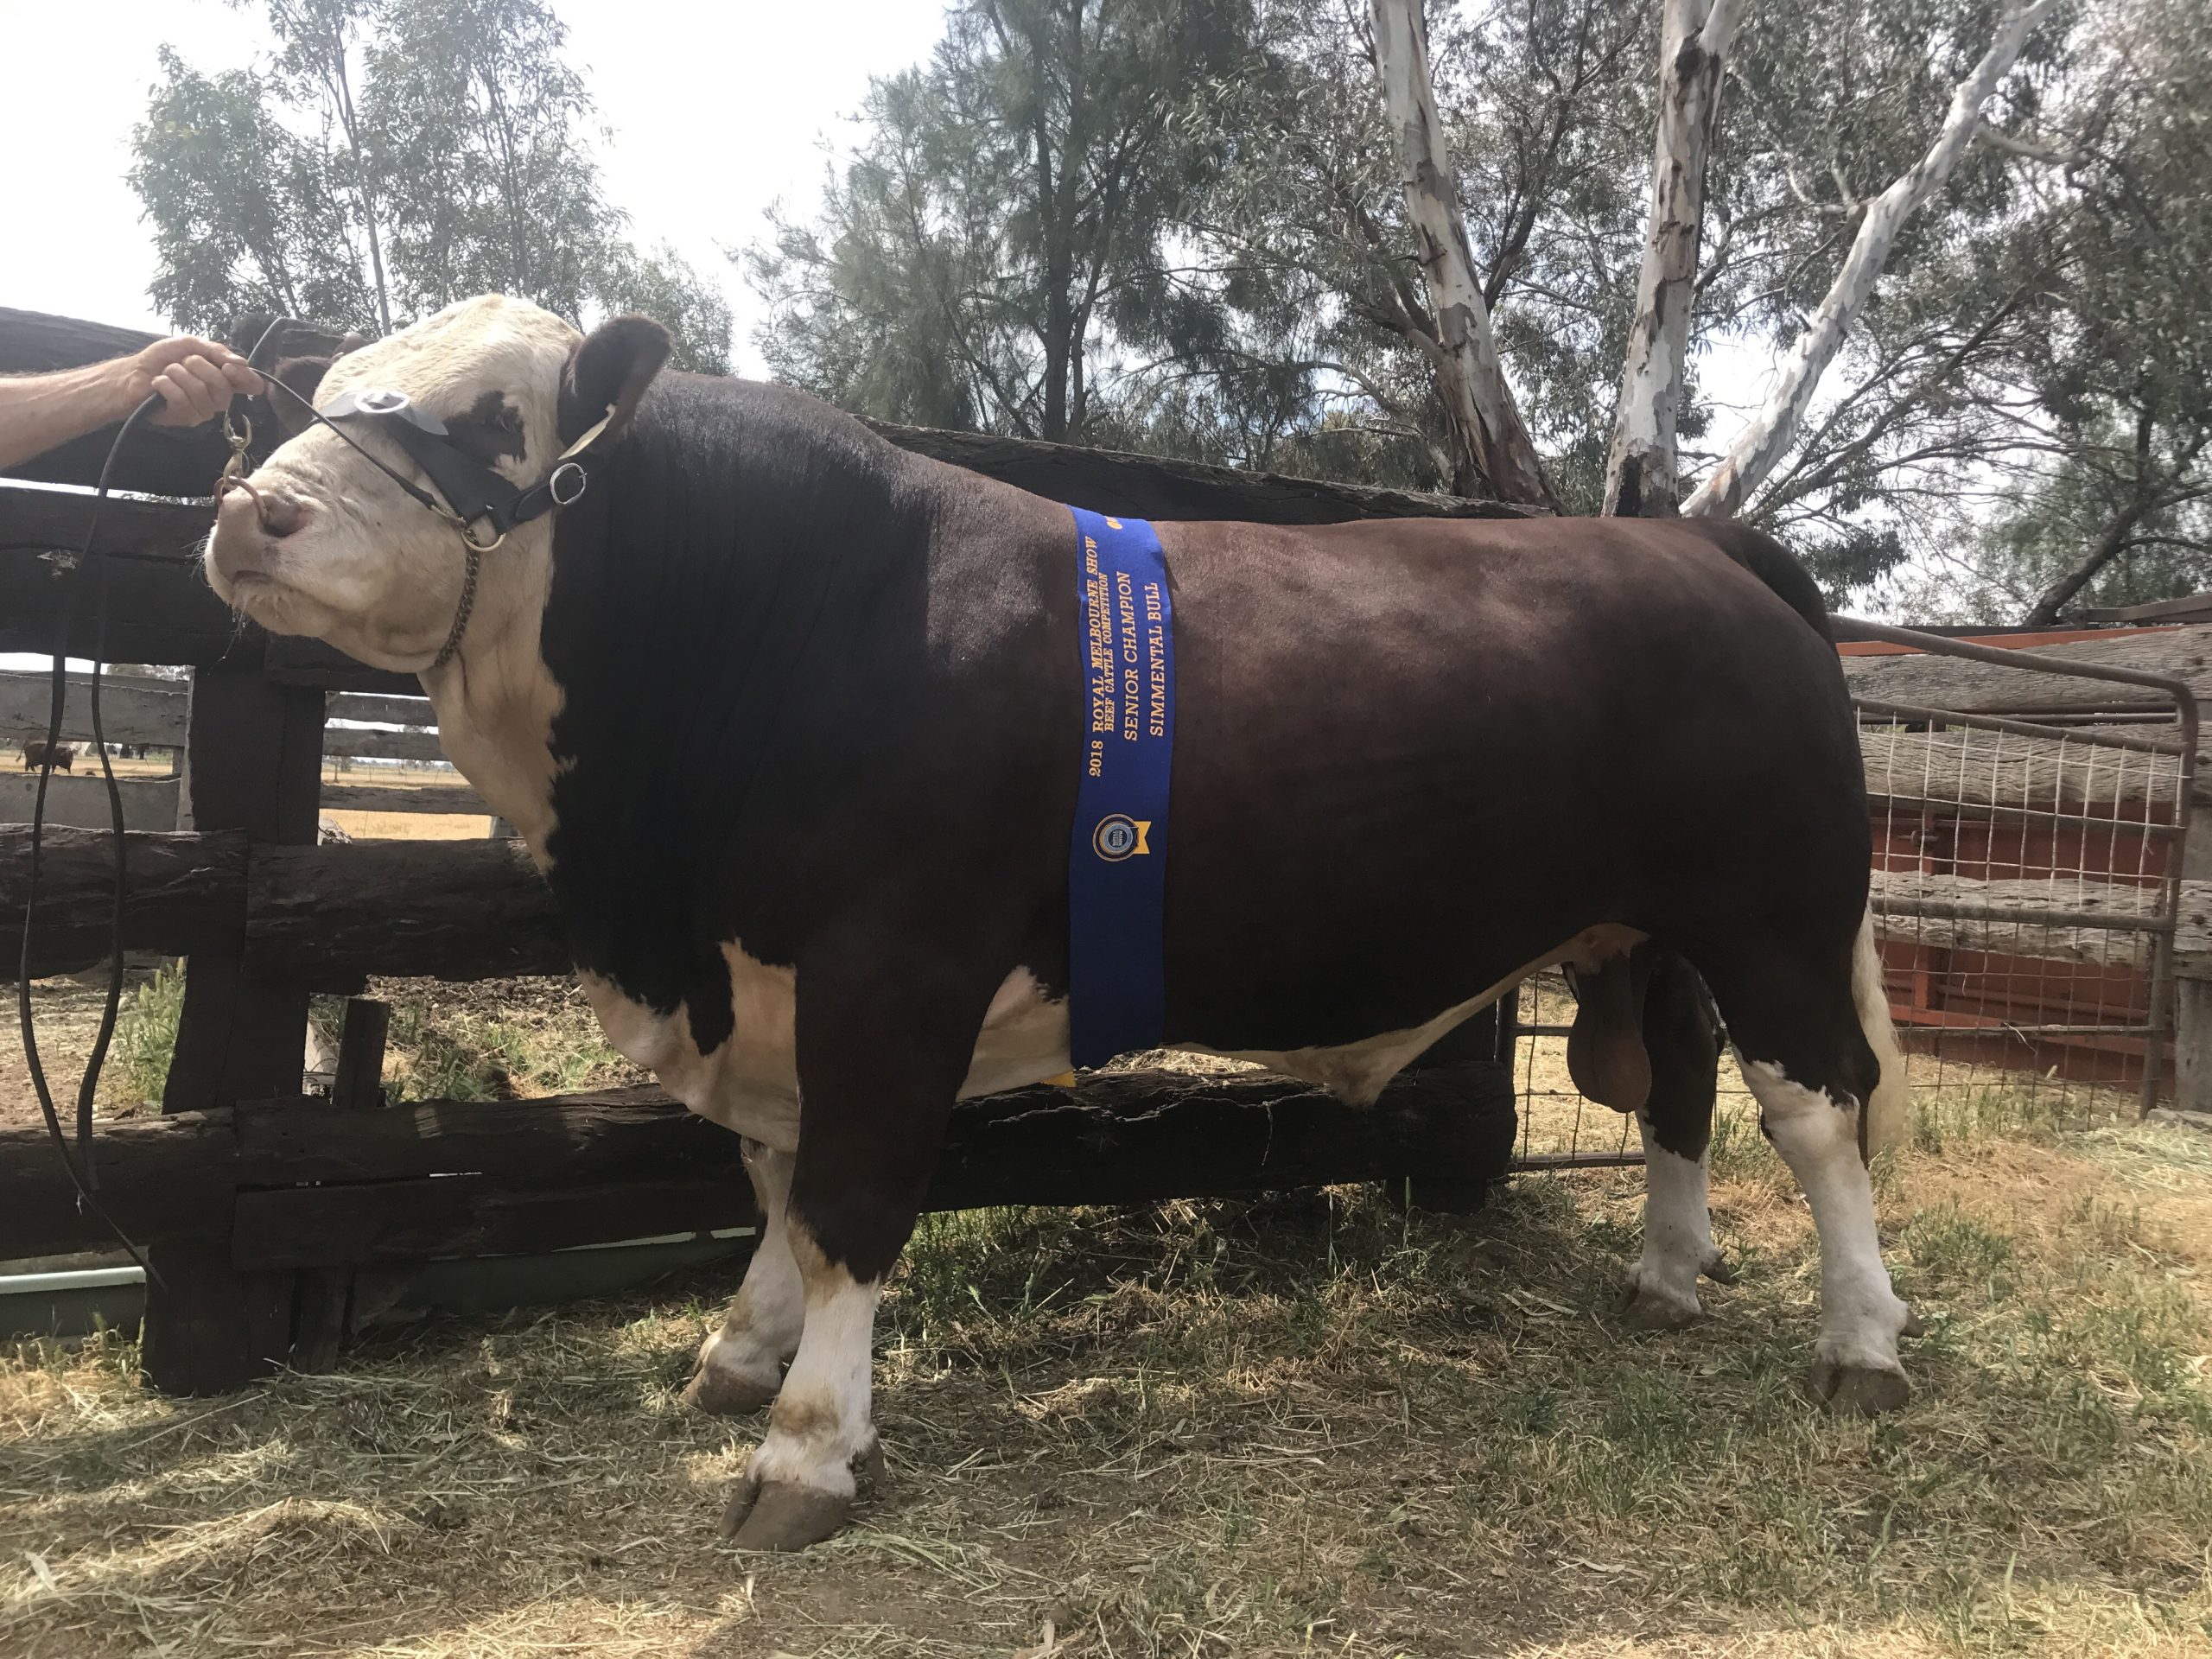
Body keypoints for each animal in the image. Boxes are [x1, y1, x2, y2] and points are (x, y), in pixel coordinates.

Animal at [204, 295, 1915, 1552]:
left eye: (493, 417)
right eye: (322, 392)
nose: (245, 512)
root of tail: (1695, 544)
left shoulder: (891, 971)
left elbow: (850, 1200)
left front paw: (808, 1449)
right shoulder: (768, 981)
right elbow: (776, 1178)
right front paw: (740, 1355)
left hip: (1774, 914)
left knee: (1819, 1111)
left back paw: (1863, 1348)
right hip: (1658, 931)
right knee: (1685, 1088)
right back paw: (1667, 1277)